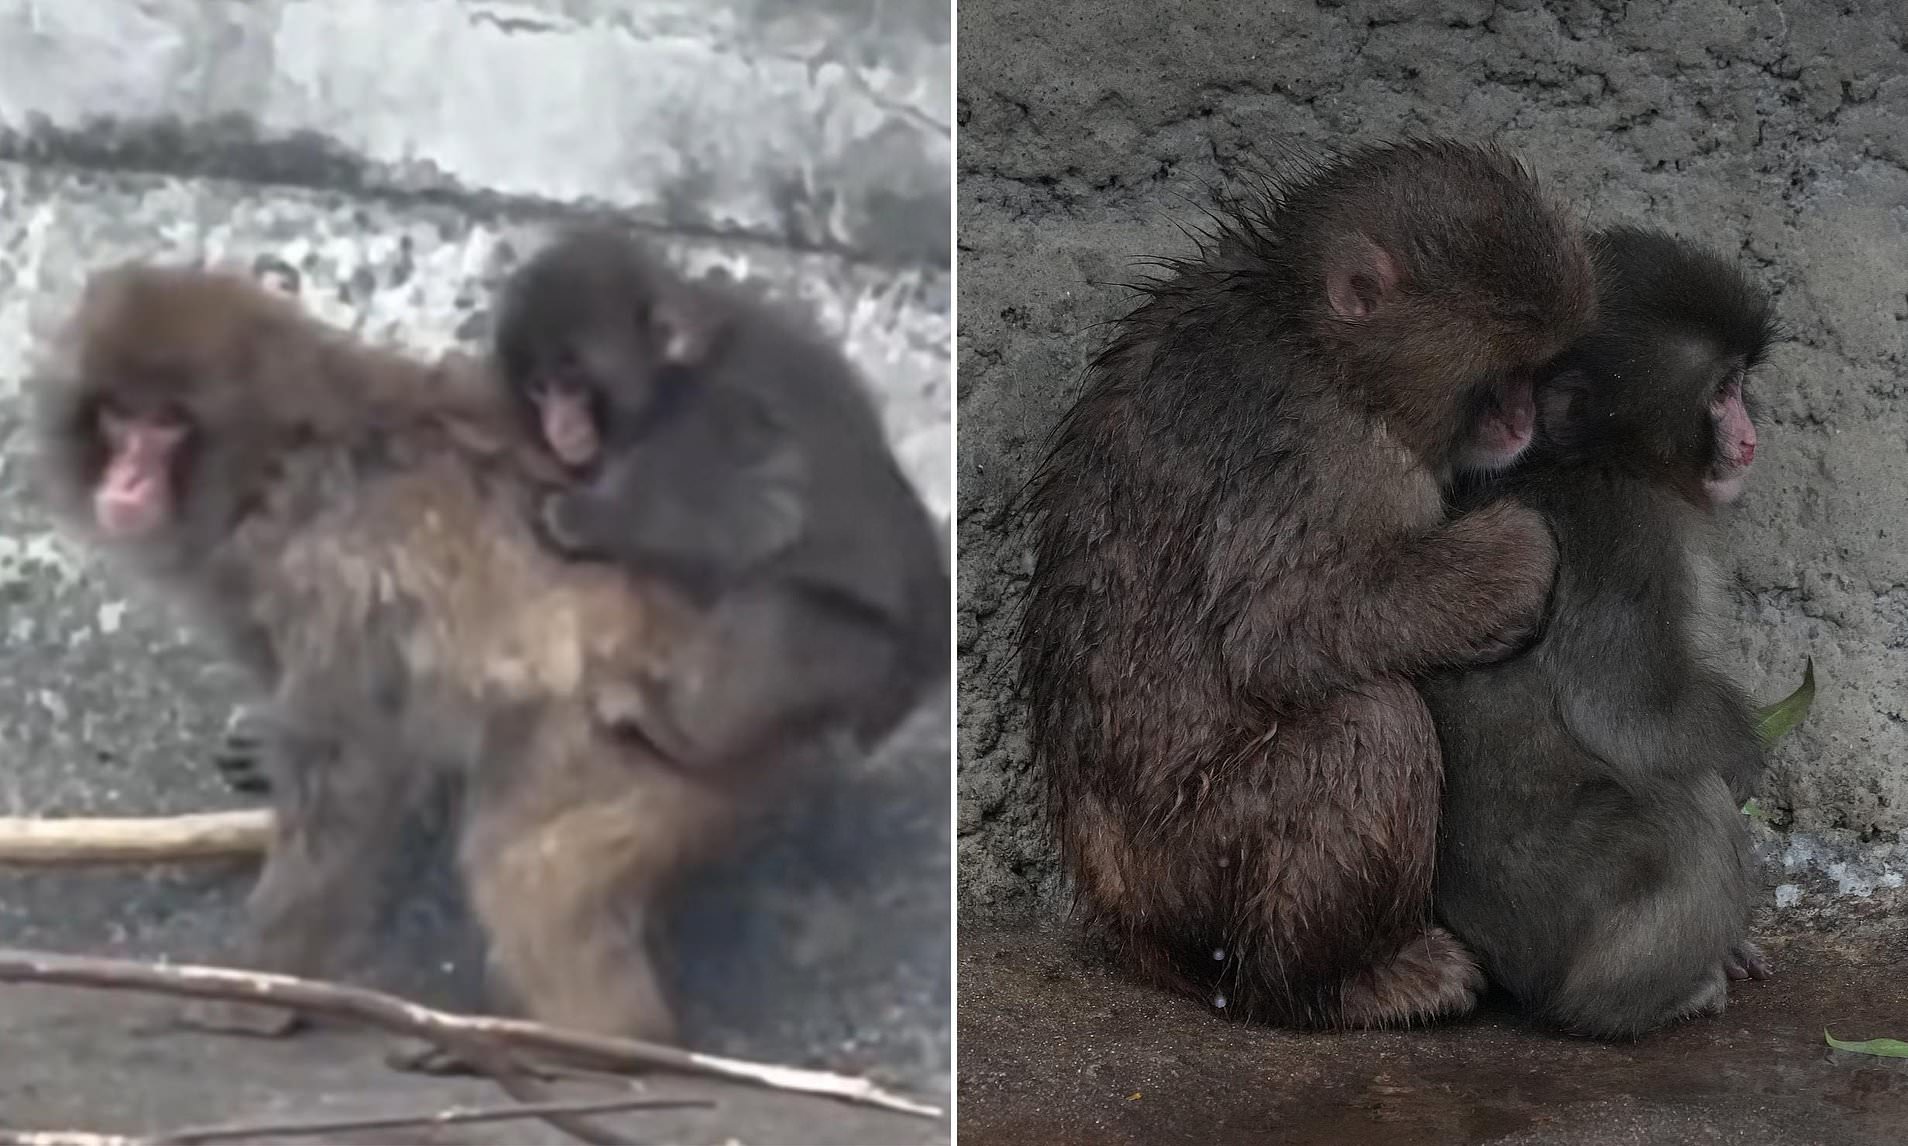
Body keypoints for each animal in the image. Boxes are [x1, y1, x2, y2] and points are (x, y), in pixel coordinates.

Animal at [32, 263, 754, 1046]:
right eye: (117, 415)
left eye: (168, 422)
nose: (125, 481)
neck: (275, 468)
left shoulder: (330, 577)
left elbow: (349, 764)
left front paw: (260, 986)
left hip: (625, 739)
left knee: (526, 867)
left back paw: (597, 1046)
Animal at [490, 226, 949, 771]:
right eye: (540, 389)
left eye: (572, 382)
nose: (558, 425)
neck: (677, 376)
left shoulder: (712, 421)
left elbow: (758, 519)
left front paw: (578, 518)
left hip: (864, 673)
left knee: (778, 613)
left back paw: (683, 739)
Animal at [1018, 139, 1597, 1029]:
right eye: (1499, 377)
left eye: (1536, 374)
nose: (1522, 422)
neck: (1318, 344)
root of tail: (1124, 913)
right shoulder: (1328, 459)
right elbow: (1279, 627)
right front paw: (1514, 557)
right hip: (1202, 860)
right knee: (1373, 726)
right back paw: (1338, 983)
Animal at [1425, 225, 1780, 1039]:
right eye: (1722, 391)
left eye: (1741, 383)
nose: (1750, 437)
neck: (1604, 459)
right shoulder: (1627, 536)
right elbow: (1630, 712)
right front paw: (1747, 756)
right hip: (1552, 910)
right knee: (1688, 807)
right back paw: (1634, 1001)